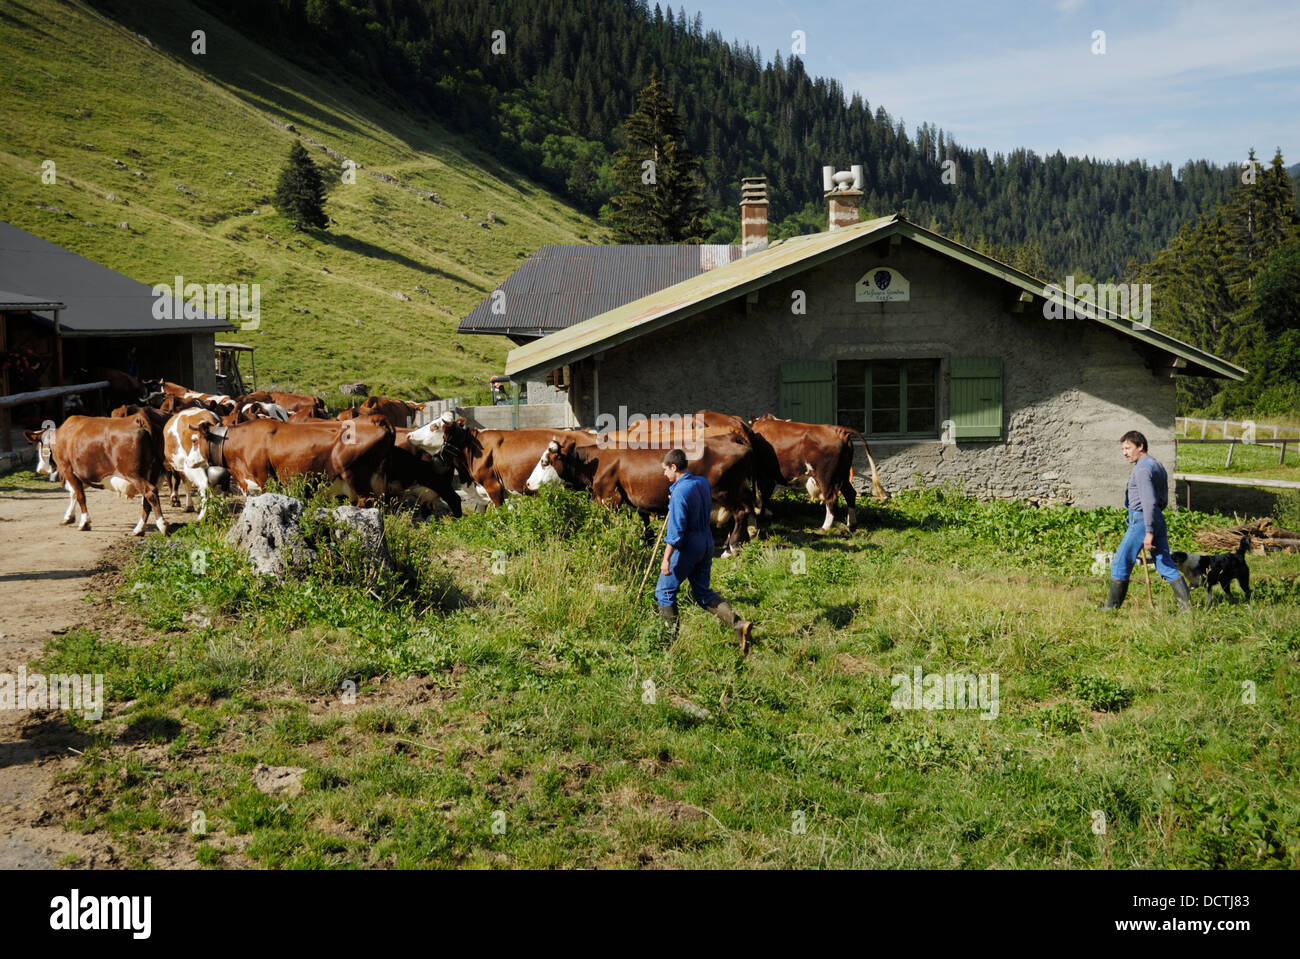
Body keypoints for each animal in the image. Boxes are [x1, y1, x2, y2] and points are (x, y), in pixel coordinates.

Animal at [24, 413, 167, 535]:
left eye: (39, 447)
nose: (40, 469)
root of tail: (138, 419)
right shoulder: (80, 474)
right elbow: (74, 493)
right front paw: (69, 516)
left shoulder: (68, 469)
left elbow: (80, 496)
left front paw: (84, 522)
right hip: (153, 472)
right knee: (147, 500)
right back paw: (139, 529)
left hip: (133, 474)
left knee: (150, 492)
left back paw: (162, 525)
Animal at [531, 433, 759, 557]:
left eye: (545, 462)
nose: (527, 483)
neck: (598, 460)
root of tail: (729, 438)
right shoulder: (636, 499)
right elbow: (645, 520)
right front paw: (647, 542)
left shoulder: (607, 498)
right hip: (738, 490)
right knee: (747, 509)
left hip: (725, 491)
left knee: (740, 512)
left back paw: (731, 548)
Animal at [748, 414, 888, 532]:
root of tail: (839, 430)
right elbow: (766, 494)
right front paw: (766, 513)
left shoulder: (763, 475)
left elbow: (764, 494)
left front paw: (762, 514)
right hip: (842, 475)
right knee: (850, 494)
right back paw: (851, 524)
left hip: (825, 477)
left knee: (831, 499)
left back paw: (825, 527)